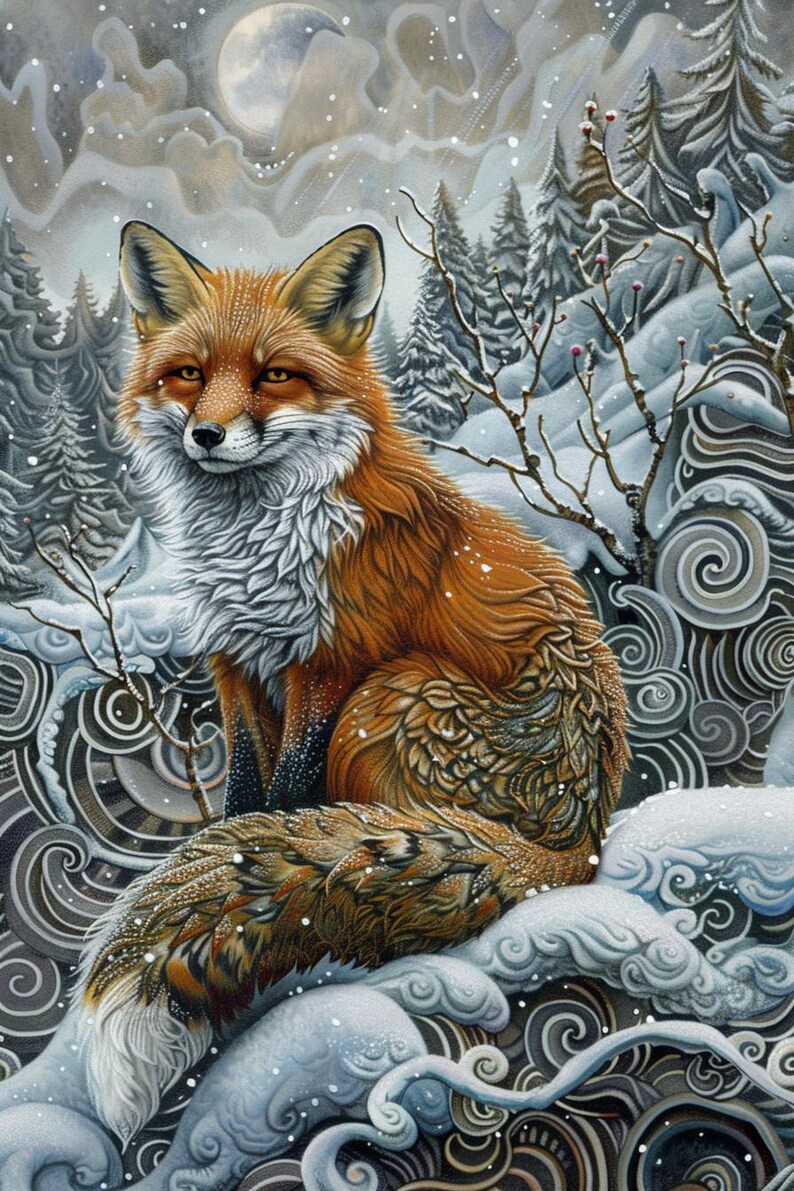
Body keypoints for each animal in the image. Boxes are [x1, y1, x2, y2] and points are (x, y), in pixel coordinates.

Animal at [74, 221, 629, 1143]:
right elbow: (245, 797)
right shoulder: (236, 662)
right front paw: (232, 850)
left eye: (274, 374)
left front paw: (268, 864)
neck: (258, 545)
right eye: (189, 373)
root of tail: (579, 843)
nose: (207, 435)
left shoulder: (329, 663)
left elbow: (288, 798)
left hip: (390, 696)